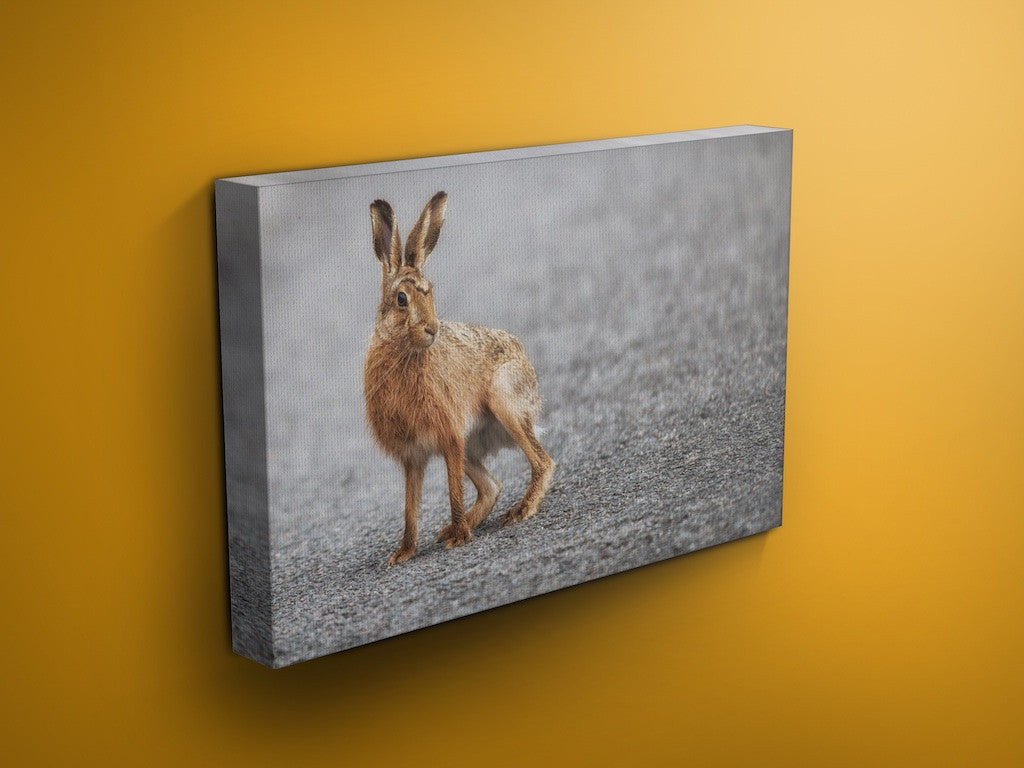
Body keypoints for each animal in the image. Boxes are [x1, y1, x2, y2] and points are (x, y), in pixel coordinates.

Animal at [363, 191, 555, 565]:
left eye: (431, 292)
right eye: (402, 299)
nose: (432, 329)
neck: (403, 351)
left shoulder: (449, 435)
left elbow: (452, 490)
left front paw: (460, 538)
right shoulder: (413, 455)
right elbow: (410, 506)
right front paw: (403, 553)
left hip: (504, 402)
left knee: (542, 462)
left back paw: (518, 511)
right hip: (474, 444)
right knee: (492, 486)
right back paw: (452, 528)